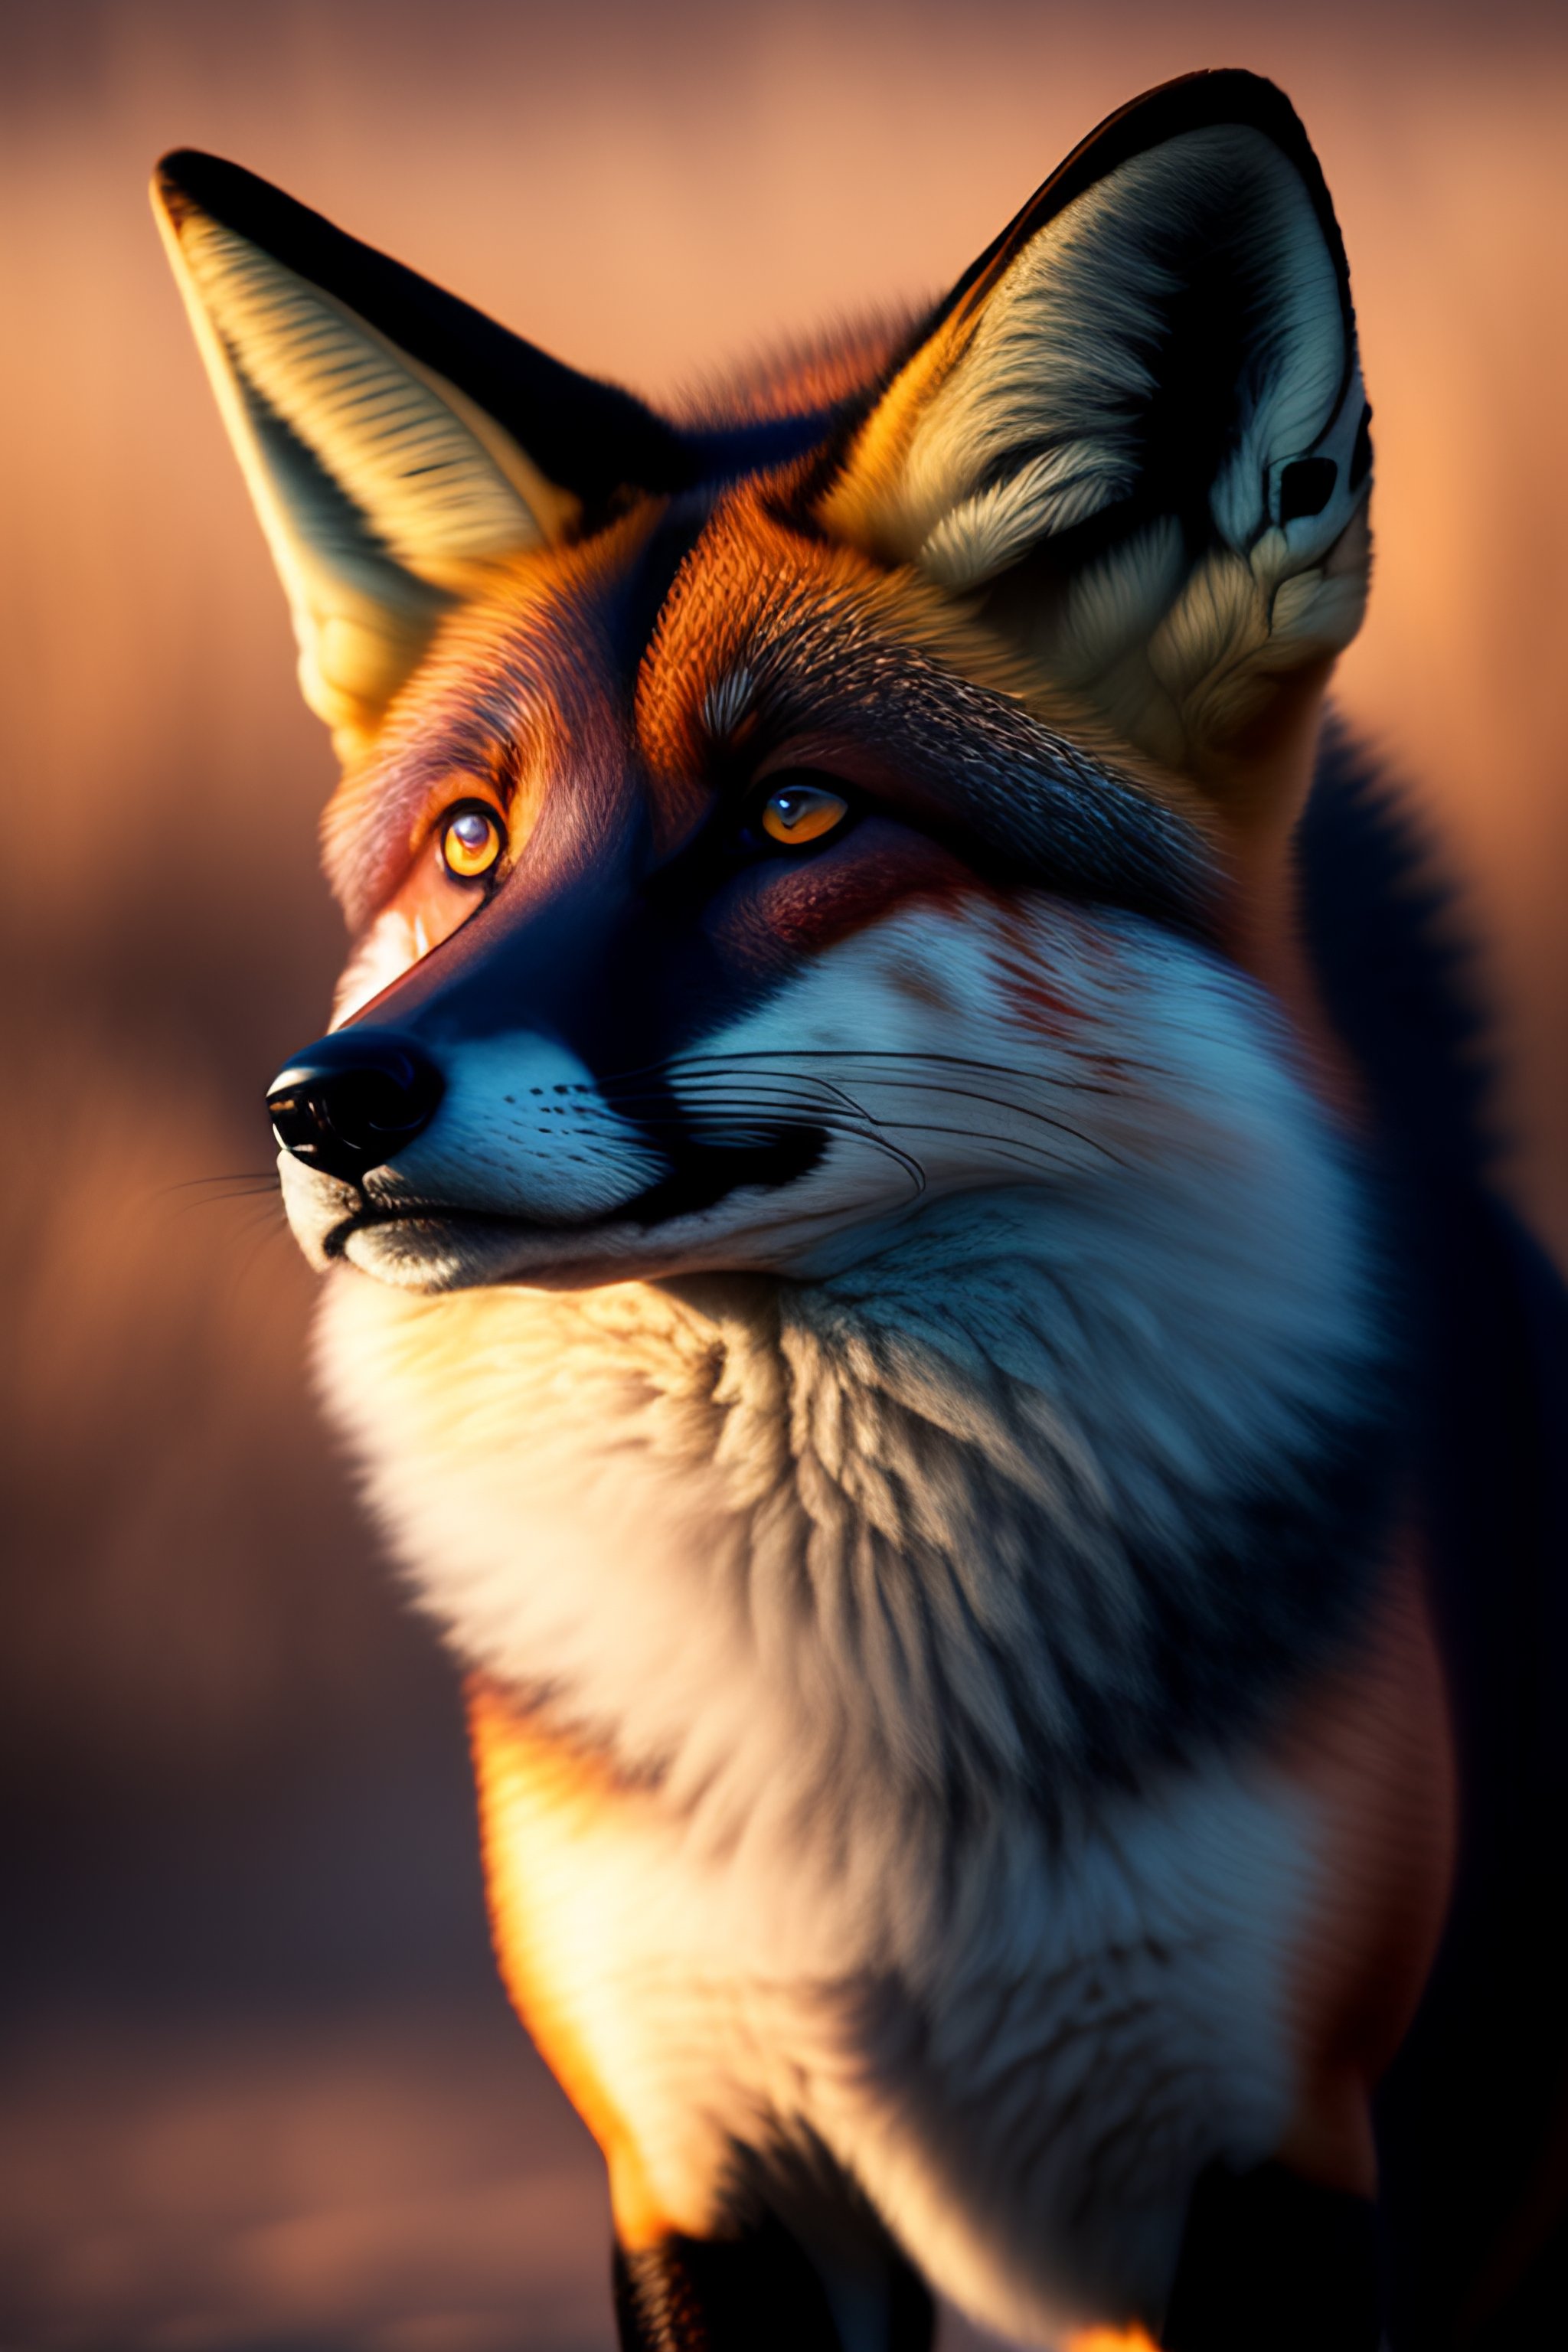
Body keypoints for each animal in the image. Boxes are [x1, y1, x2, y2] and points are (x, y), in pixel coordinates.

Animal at [152, 68, 1568, 2351]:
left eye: (792, 814)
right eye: (469, 841)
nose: (320, 1107)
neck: (877, 1796)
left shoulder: (1291, 2154)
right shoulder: (704, 2150)